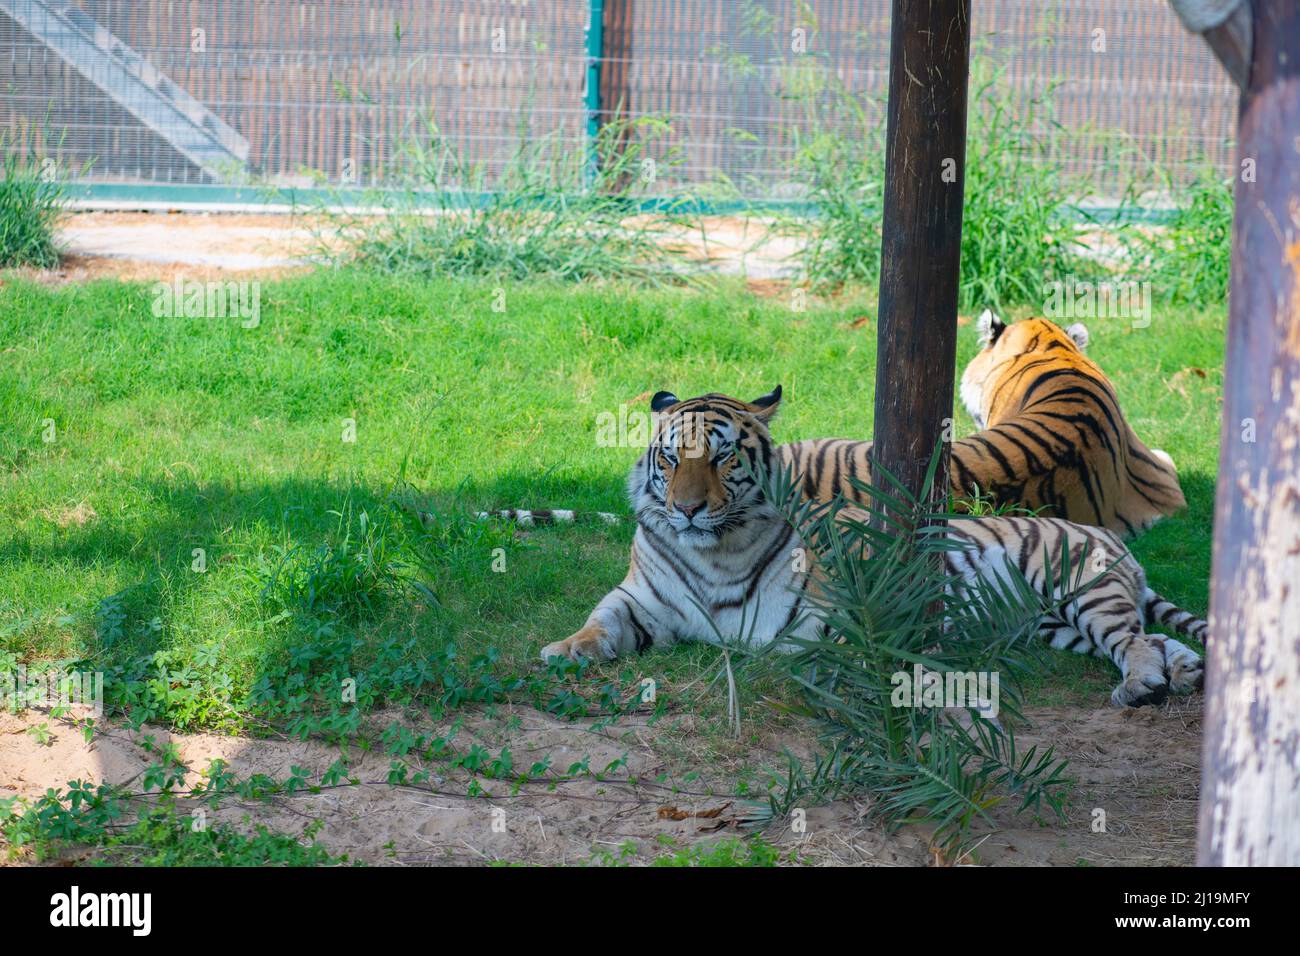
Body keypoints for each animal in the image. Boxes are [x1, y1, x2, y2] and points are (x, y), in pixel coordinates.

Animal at [537, 387, 1205, 707]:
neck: (713, 551)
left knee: (1134, 641)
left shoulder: (824, 610)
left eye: (723, 457)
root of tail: (1113, 540)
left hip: (1085, 594)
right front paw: (563, 651)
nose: (687, 509)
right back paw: (1182, 674)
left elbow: (817, 648)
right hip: (1057, 625)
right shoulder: (640, 600)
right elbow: (599, 621)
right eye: (672, 458)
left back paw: (1143, 687)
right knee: (1153, 639)